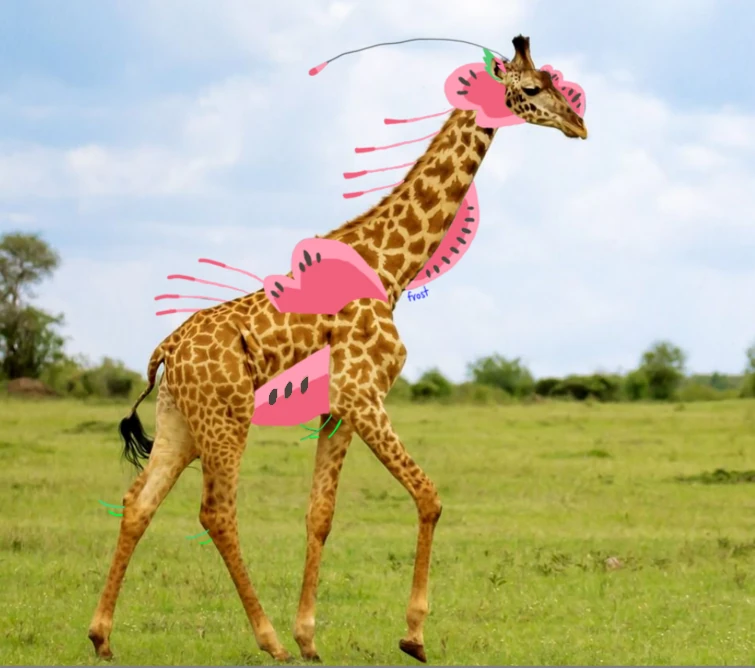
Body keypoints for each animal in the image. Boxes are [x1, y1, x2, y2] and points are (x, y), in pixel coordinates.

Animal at [88, 35, 587, 664]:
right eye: (532, 87)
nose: (579, 124)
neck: (389, 268)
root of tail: (165, 351)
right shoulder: (364, 392)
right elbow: (429, 496)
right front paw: (412, 636)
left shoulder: (338, 409)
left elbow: (319, 515)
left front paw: (310, 637)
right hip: (226, 418)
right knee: (216, 512)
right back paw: (268, 639)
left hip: (180, 421)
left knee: (138, 503)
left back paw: (102, 635)